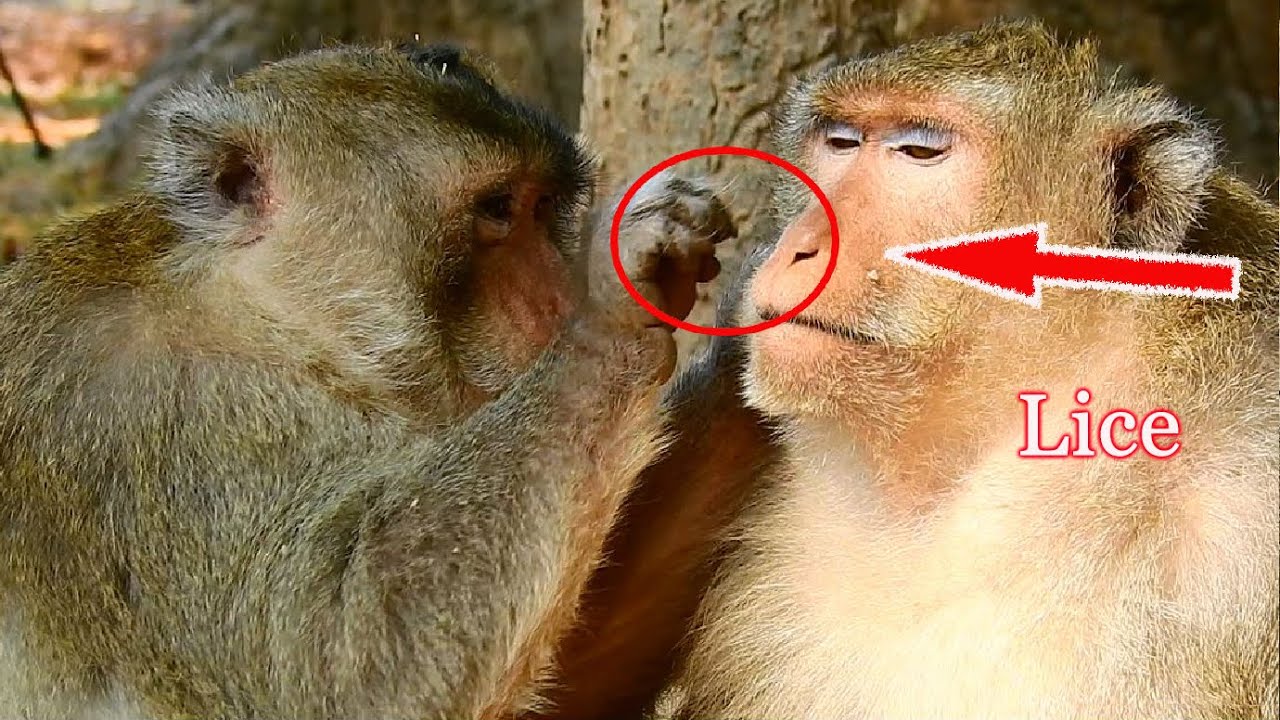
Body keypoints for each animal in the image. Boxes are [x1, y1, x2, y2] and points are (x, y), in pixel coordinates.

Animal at [0, 42, 737, 720]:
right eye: (498, 208)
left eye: (542, 205)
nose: (558, 298)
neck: (265, 326)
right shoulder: (149, 420)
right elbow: (345, 667)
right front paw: (611, 309)